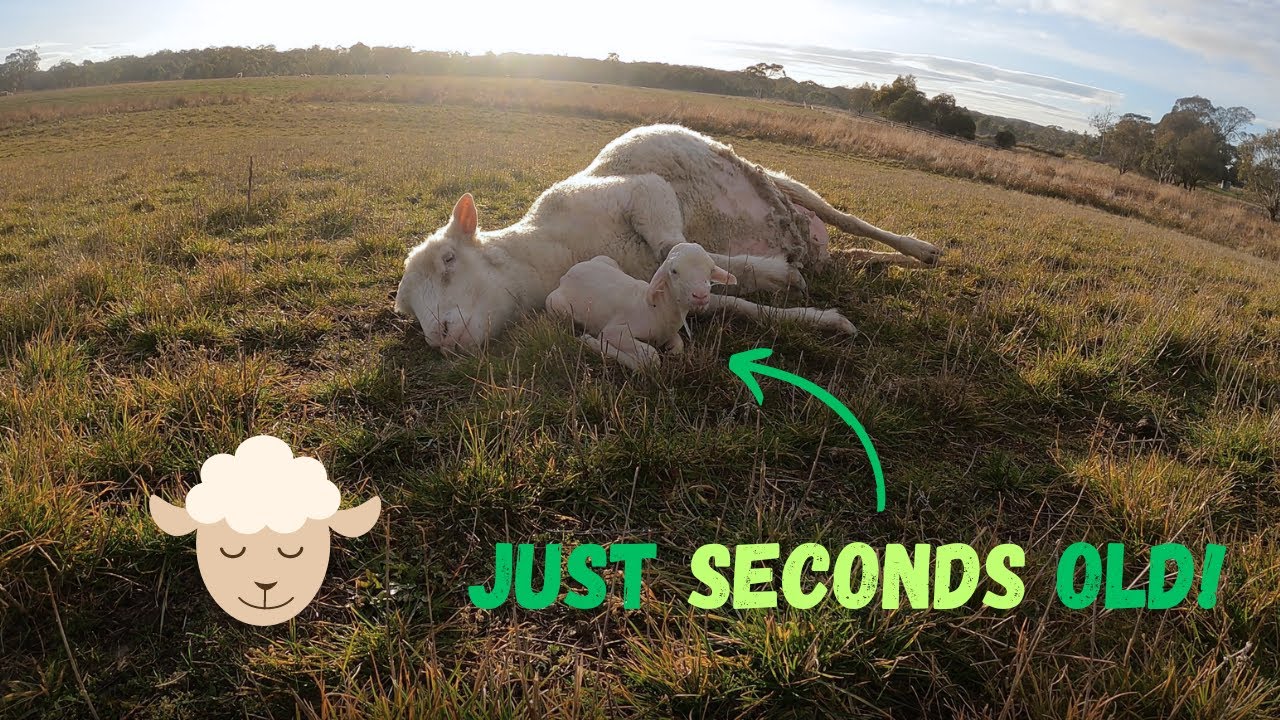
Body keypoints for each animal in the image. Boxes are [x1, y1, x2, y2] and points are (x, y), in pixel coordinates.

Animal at [397, 124, 940, 350]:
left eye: (448, 260)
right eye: (406, 310)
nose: (439, 339)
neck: (551, 253)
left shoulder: (642, 192)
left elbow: (673, 248)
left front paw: (773, 274)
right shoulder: (670, 292)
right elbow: (734, 305)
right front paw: (818, 317)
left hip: (785, 183)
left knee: (847, 219)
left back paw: (922, 250)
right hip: (818, 241)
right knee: (843, 251)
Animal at [547, 243, 736, 369]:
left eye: (711, 270)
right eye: (674, 271)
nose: (701, 295)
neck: (657, 310)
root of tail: (567, 274)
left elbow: (678, 346)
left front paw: (671, 349)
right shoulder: (615, 331)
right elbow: (651, 358)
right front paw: (591, 341)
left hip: (606, 259)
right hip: (556, 306)